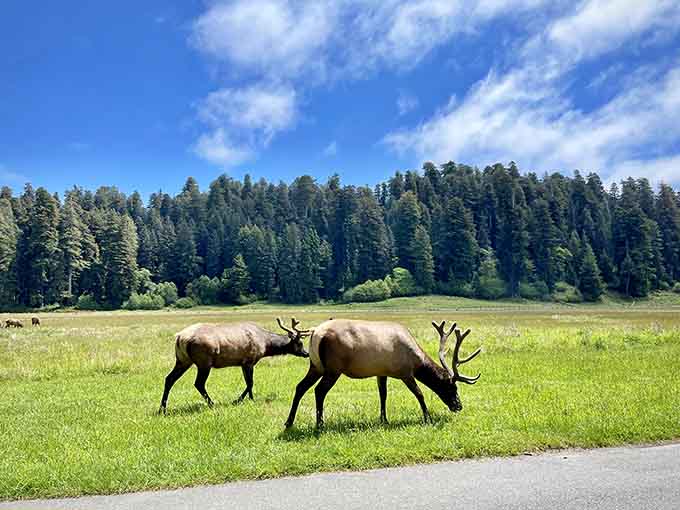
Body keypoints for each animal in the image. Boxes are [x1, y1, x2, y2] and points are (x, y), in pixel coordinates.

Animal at [159, 318, 311, 414]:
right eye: (300, 343)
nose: (306, 353)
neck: (266, 345)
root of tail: (180, 338)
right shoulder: (249, 360)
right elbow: (250, 382)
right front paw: (240, 400)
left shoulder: (242, 363)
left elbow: (248, 382)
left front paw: (249, 399)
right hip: (204, 361)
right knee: (198, 383)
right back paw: (212, 404)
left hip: (182, 360)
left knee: (169, 379)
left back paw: (162, 409)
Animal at [284, 319, 481, 429]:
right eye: (451, 387)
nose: (458, 406)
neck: (416, 359)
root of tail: (315, 333)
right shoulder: (405, 372)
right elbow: (419, 394)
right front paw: (428, 418)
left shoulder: (382, 372)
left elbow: (383, 395)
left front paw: (384, 420)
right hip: (333, 368)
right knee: (319, 391)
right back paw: (319, 424)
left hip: (316, 366)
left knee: (300, 387)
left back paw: (289, 423)